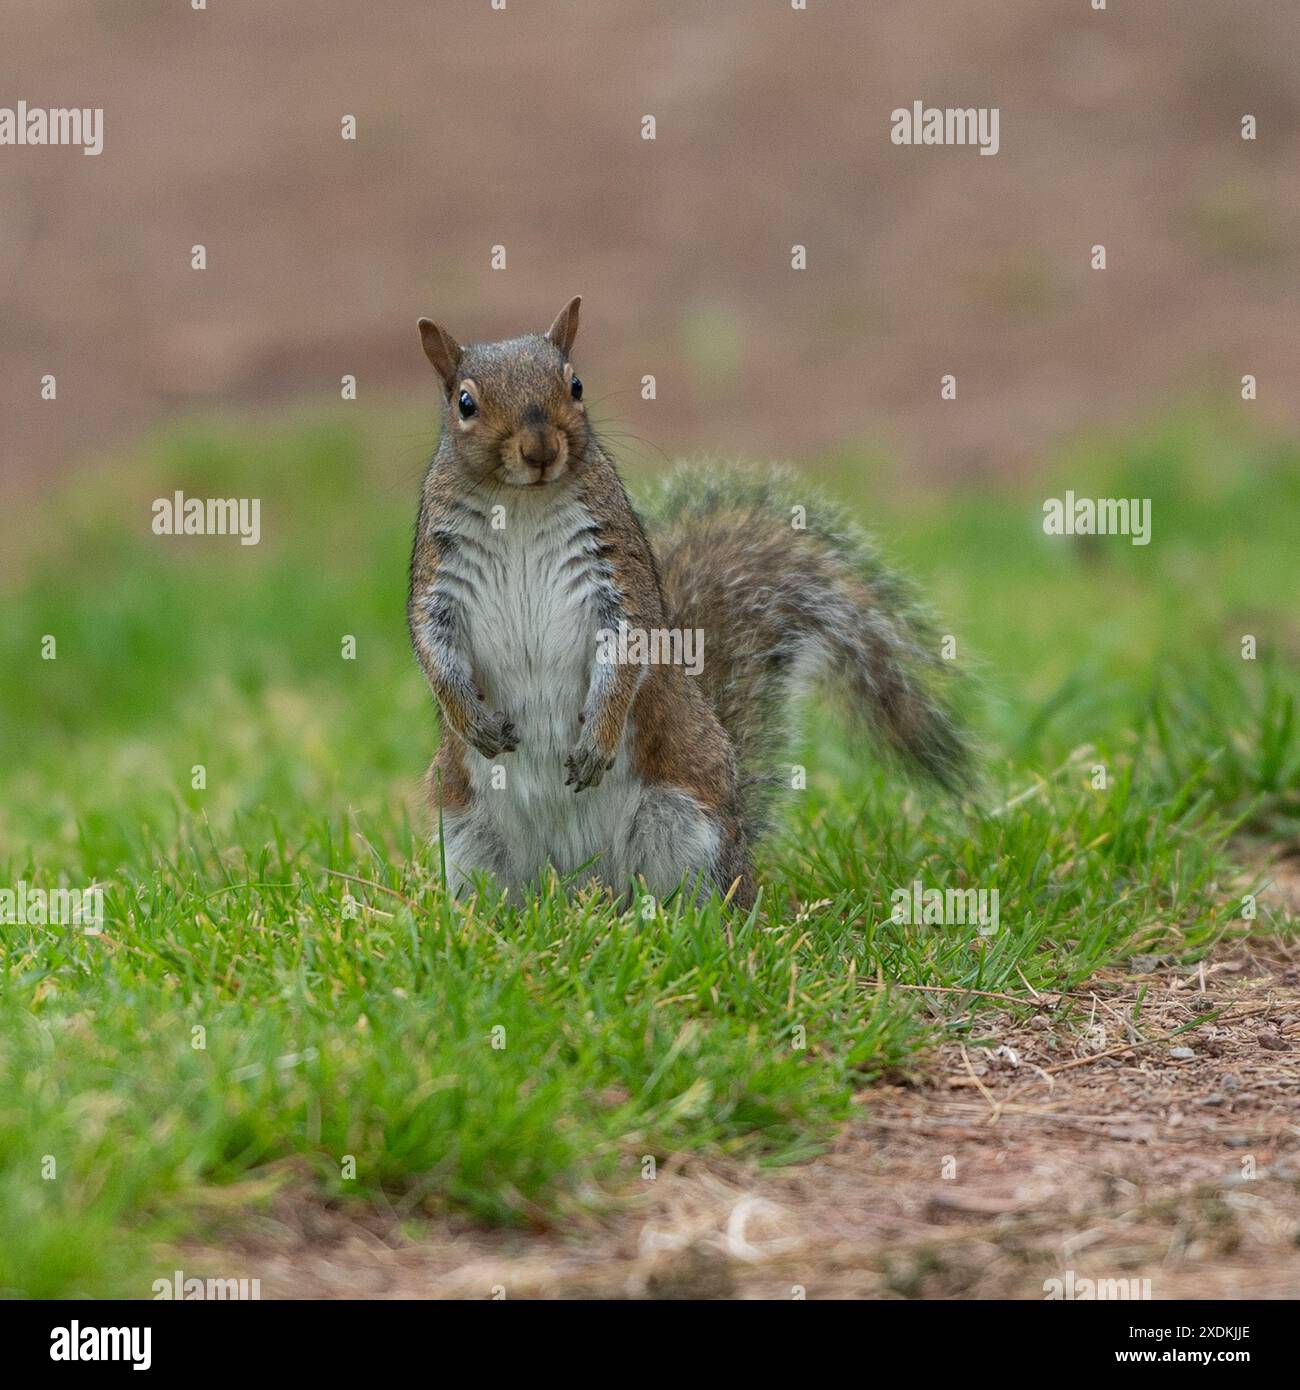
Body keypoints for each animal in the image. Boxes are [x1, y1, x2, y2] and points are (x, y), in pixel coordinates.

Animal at [407, 297, 969, 909]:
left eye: (576, 385)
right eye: (465, 403)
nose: (539, 449)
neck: (521, 503)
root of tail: (584, 887)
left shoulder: (616, 575)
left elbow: (628, 649)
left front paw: (597, 742)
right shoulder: (437, 581)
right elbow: (433, 648)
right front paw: (474, 722)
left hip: (683, 823)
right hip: (470, 840)